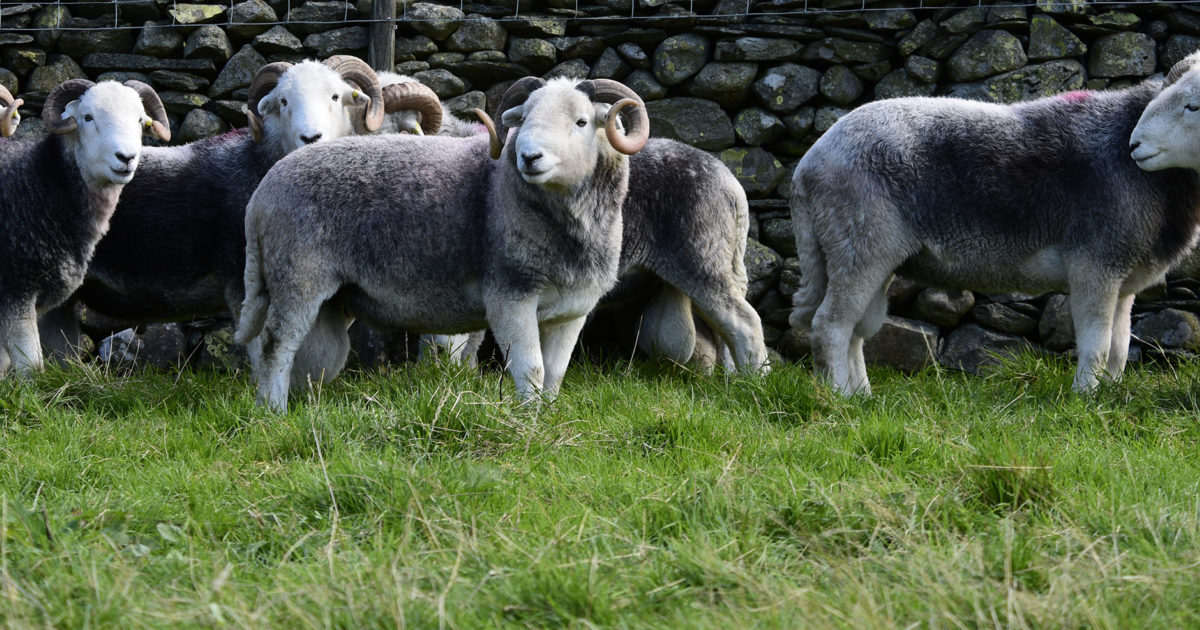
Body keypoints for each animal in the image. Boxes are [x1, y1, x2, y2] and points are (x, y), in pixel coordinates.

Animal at [235, 77, 649, 411]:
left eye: (581, 122)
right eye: (525, 119)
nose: (529, 157)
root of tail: (262, 192)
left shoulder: (570, 311)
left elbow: (554, 375)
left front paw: (546, 417)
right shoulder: (510, 296)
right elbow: (531, 369)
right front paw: (529, 423)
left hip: (328, 299)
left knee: (311, 356)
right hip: (297, 276)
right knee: (274, 344)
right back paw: (273, 413)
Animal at [789, 52, 1200, 396]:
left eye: (1191, 105)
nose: (1136, 145)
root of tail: (807, 165)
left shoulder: (1124, 276)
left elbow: (1118, 348)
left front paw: (1108, 396)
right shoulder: (1094, 265)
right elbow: (1096, 346)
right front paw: (1084, 398)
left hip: (864, 255)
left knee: (855, 332)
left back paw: (862, 396)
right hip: (857, 247)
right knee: (830, 326)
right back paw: (840, 398)